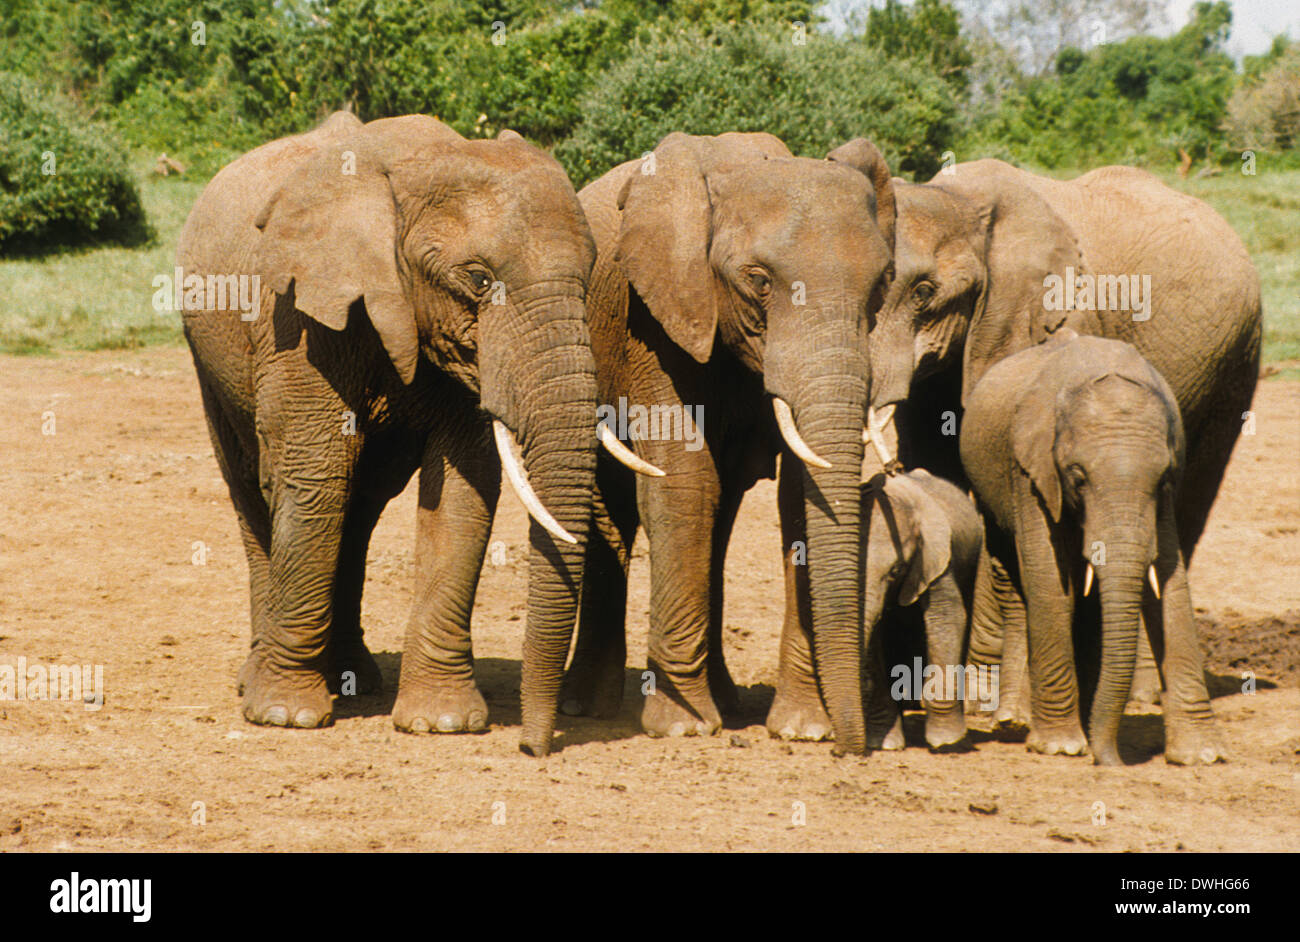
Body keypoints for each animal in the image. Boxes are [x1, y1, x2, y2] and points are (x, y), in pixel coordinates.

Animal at [177, 112, 651, 753]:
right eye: (477, 279)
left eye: (587, 277)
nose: (534, 746)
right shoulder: (298, 314)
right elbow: (312, 472)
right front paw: (285, 715)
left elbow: (463, 489)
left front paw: (441, 723)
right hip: (208, 355)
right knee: (254, 488)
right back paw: (260, 680)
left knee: (362, 505)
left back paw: (354, 678)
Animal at [554, 132, 898, 754]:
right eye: (758, 281)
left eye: (882, 284)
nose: (851, 748)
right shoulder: (659, 311)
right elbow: (684, 480)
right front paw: (683, 727)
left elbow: (798, 496)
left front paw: (805, 729)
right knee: (618, 500)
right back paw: (587, 705)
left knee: (723, 514)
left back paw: (728, 701)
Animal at [777, 467, 983, 750]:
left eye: (896, 570)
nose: (837, 750)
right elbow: (875, 631)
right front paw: (882, 742)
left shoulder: (937, 560)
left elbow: (947, 619)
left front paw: (946, 742)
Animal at [865, 158, 1261, 706]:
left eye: (924, 293)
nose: (887, 470)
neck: (962, 200)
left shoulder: (1053, 314)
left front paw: (989, 693)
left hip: (1235, 361)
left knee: (1187, 506)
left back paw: (1140, 692)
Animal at [959, 330, 1224, 766]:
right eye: (1078, 478)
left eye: (1163, 478)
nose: (1111, 761)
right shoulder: (1030, 470)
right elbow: (1050, 581)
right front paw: (1060, 747)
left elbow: (1170, 586)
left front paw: (1201, 755)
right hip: (987, 485)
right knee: (1013, 580)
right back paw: (1015, 722)